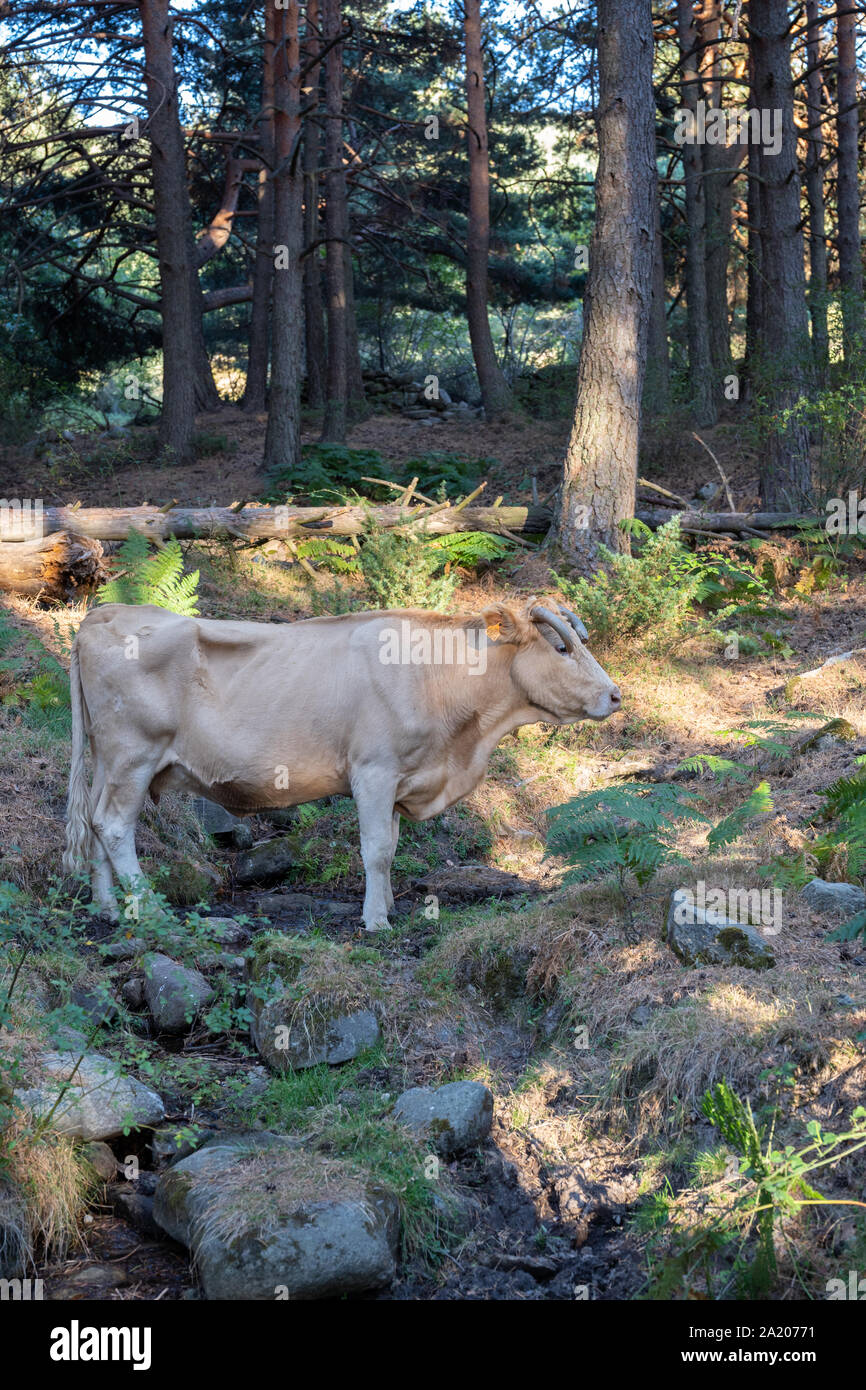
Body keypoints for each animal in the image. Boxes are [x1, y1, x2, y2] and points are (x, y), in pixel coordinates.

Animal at [63, 598, 621, 930]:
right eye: (561, 646)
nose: (615, 695)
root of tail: (103, 613)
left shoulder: (402, 778)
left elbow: (391, 845)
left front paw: (389, 904)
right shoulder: (374, 770)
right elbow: (376, 850)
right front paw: (376, 920)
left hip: (108, 758)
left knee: (93, 823)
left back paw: (107, 907)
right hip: (134, 753)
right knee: (114, 826)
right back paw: (146, 908)